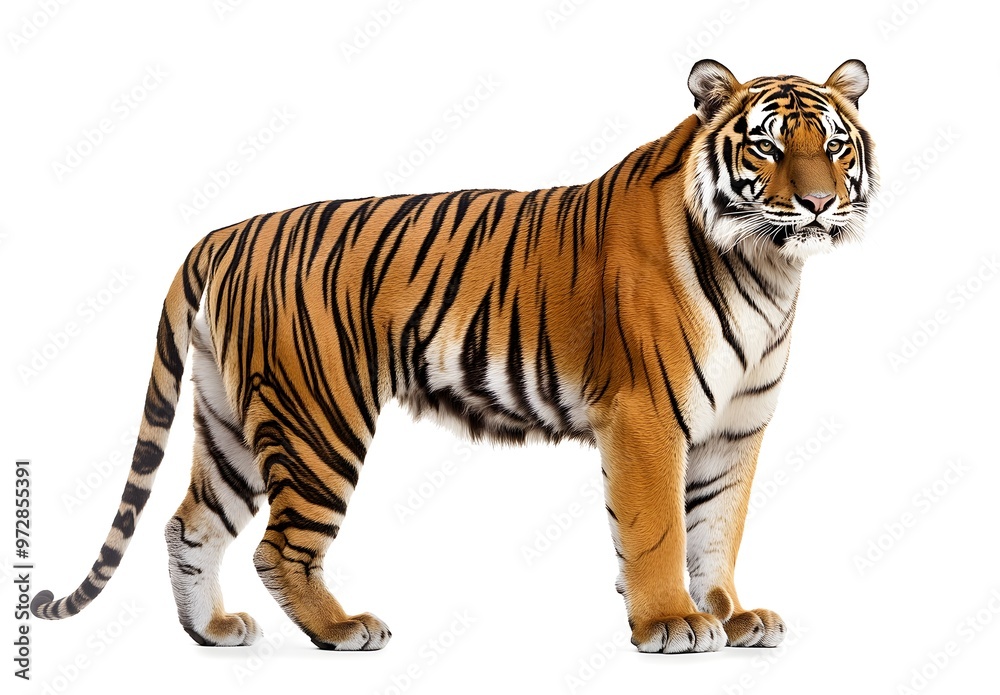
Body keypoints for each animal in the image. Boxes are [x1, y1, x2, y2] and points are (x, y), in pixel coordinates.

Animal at [31, 58, 876, 654]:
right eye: (767, 144)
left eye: (834, 146)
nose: (818, 203)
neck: (767, 267)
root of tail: (227, 231)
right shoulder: (646, 417)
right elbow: (660, 529)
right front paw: (670, 622)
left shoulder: (735, 429)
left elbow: (715, 530)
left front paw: (729, 614)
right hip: (316, 421)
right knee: (278, 547)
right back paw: (342, 629)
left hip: (232, 419)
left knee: (189, 525)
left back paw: (210, 630)